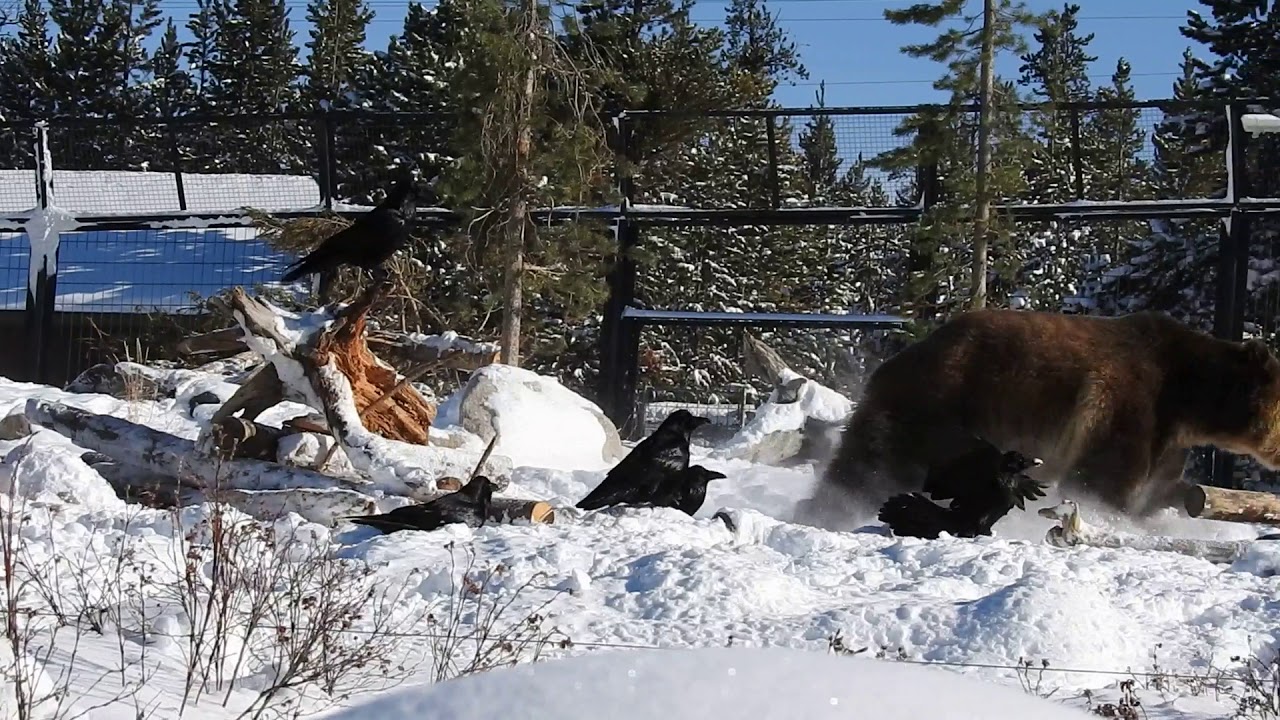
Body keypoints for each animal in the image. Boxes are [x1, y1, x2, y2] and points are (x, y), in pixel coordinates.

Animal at [792, 308, 1280, 531]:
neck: (1190, 397)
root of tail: (894, 362)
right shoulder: (1129, 407)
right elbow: (1104, 480)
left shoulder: (1169, 440)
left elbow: (1155, 487)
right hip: (940, 406)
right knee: (873, 465)